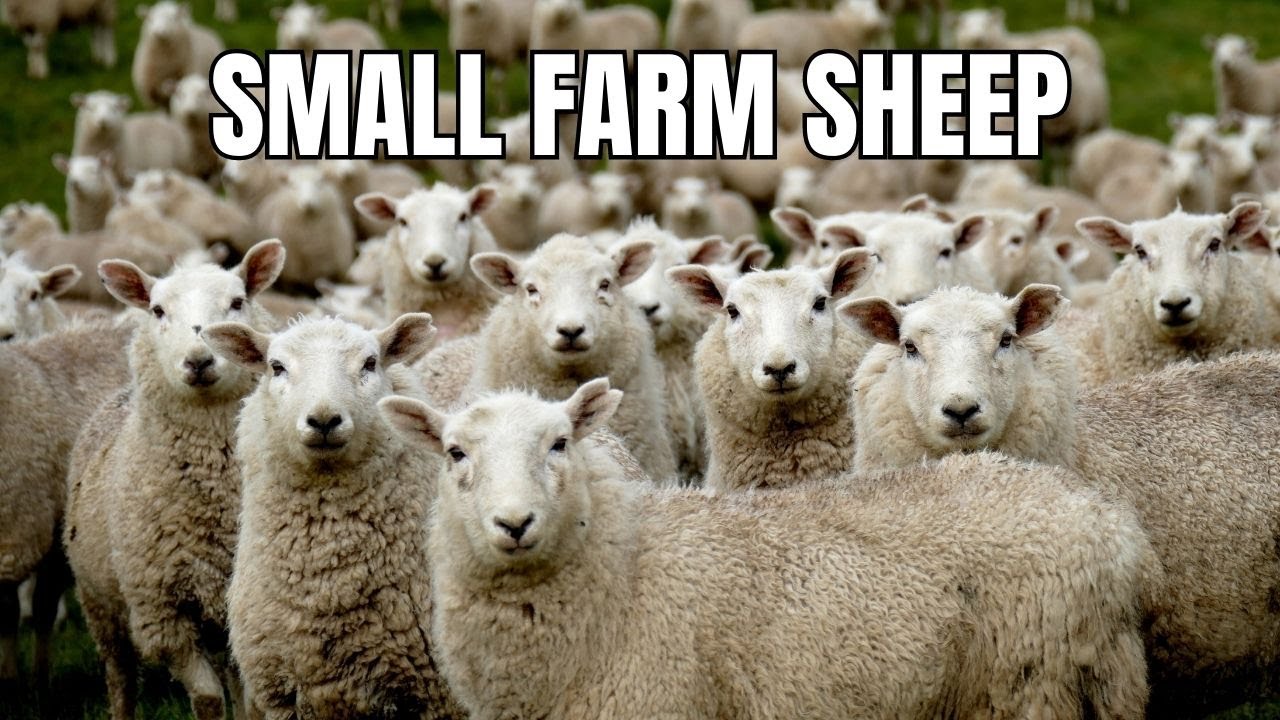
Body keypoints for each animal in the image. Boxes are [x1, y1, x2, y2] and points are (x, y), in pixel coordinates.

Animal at [63, 239, 285, 720]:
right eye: (158, 310)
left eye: (237, 302)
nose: (199, 360)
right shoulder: (163, 615)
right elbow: (207, 699)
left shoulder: (237, 608)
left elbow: (248, 703)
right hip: (100, 604)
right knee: (120, 677)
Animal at [199, 314, 465, 719]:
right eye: (276, 367)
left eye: (370, 363)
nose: (324, 419)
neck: (328, 580)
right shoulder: (279, 694)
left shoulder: (438, 697)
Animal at [378, 381, 1151, 720]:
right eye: (455, 453)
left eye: (560, 443)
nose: (514, 523)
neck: (623, 574)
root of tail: (1111, 525)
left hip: (1031, 682)